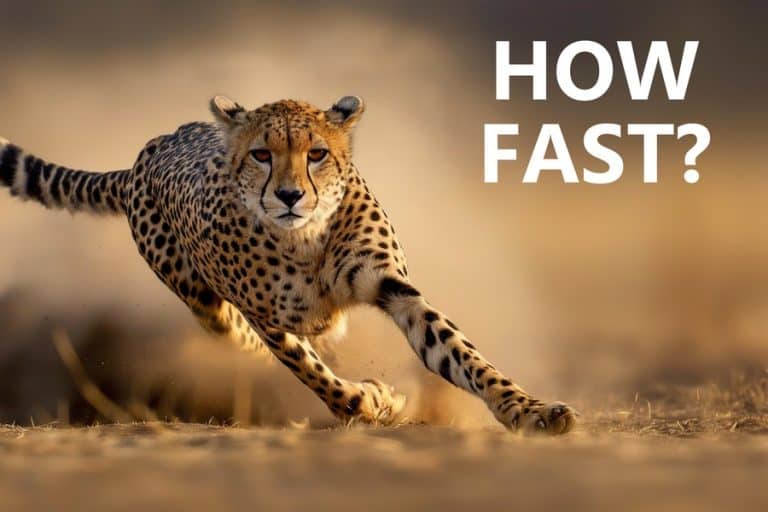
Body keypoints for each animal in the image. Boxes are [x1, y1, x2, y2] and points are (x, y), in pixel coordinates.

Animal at [0, 95, 576, 434]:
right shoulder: (271, 319)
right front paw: (370, 401)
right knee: (240, 338)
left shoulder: (394, 287)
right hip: (204, 301)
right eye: (261, 154)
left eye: (316, 153)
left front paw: (529, 411)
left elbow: (463, 355)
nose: (290, 195)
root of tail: (148, 151)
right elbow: (317, 376)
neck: (306, 239)